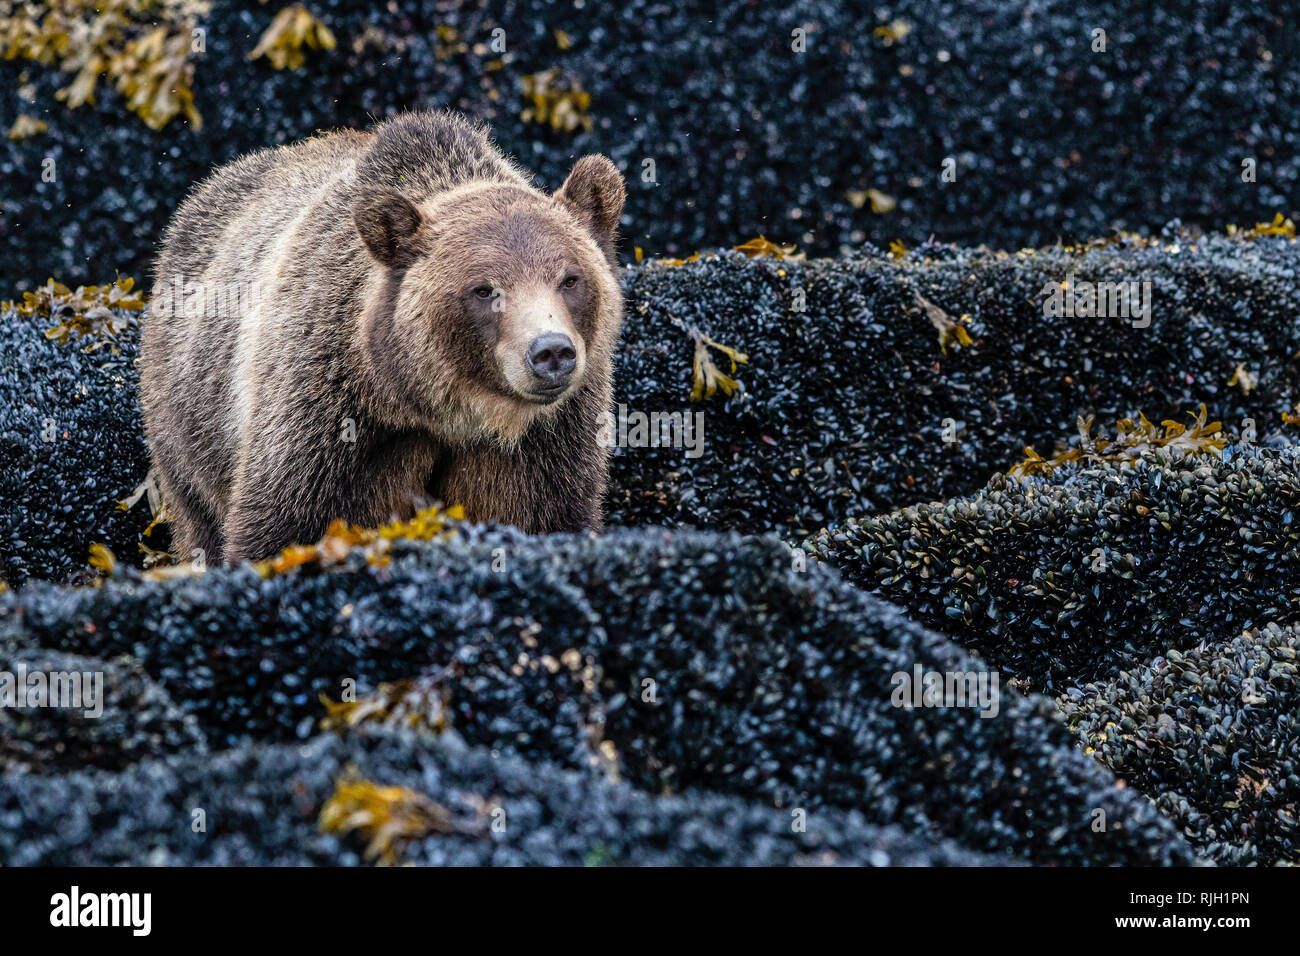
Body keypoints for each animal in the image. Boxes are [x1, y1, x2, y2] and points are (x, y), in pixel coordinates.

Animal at [139, 110, 626, 564]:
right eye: (484, 289)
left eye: (569, 279)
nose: (550, 351)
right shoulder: (330, 416)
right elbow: (287, 521)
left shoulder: (545, 443)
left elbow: (542, 511)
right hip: (186, 418)